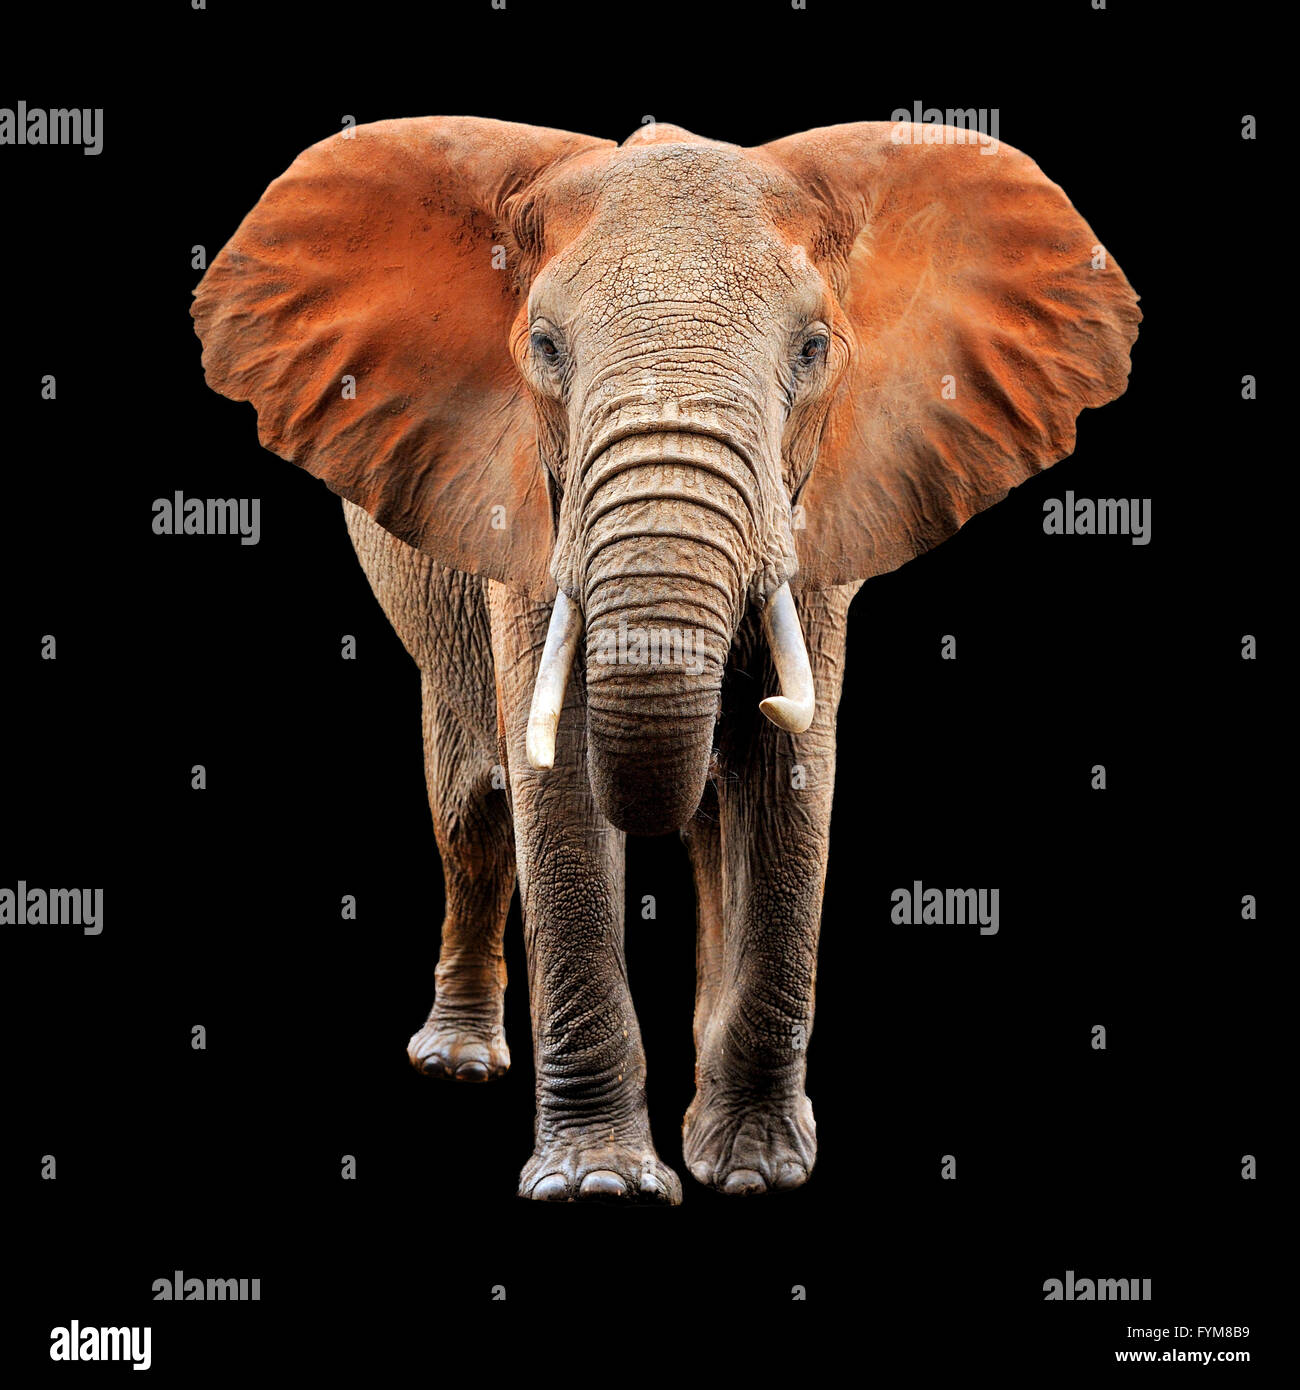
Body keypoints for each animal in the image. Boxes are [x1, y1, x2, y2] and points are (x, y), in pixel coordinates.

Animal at [192, 116, 1139, 1204]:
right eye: (544, 349)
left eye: (812, 351)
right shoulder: (530, 517)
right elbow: (555, 787)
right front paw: (598, 1185)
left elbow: (791, 780)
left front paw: (756, 1169)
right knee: (469, 811)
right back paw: (458, 1061)